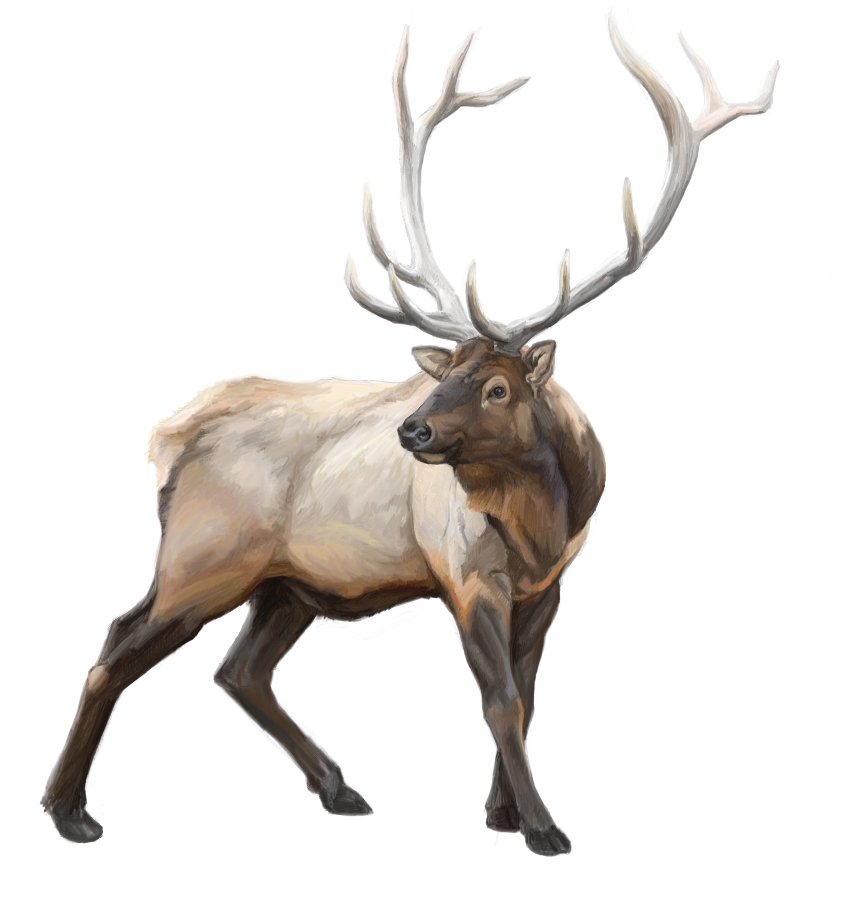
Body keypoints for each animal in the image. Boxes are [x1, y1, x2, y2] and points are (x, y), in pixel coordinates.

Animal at [43, 19, 777, 856]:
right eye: (444, 370)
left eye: (496, 386)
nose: (413, 425)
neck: (545, 520)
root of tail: (169, 441)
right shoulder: (465, 573)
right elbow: (500, 700)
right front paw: (543, 826)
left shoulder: (549, 587)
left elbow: (529, 694)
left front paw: (500, 811)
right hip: (204, 556)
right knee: (119, 640)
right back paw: (68, 808)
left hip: (286, 583)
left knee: (240, 670)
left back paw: (337, 784)